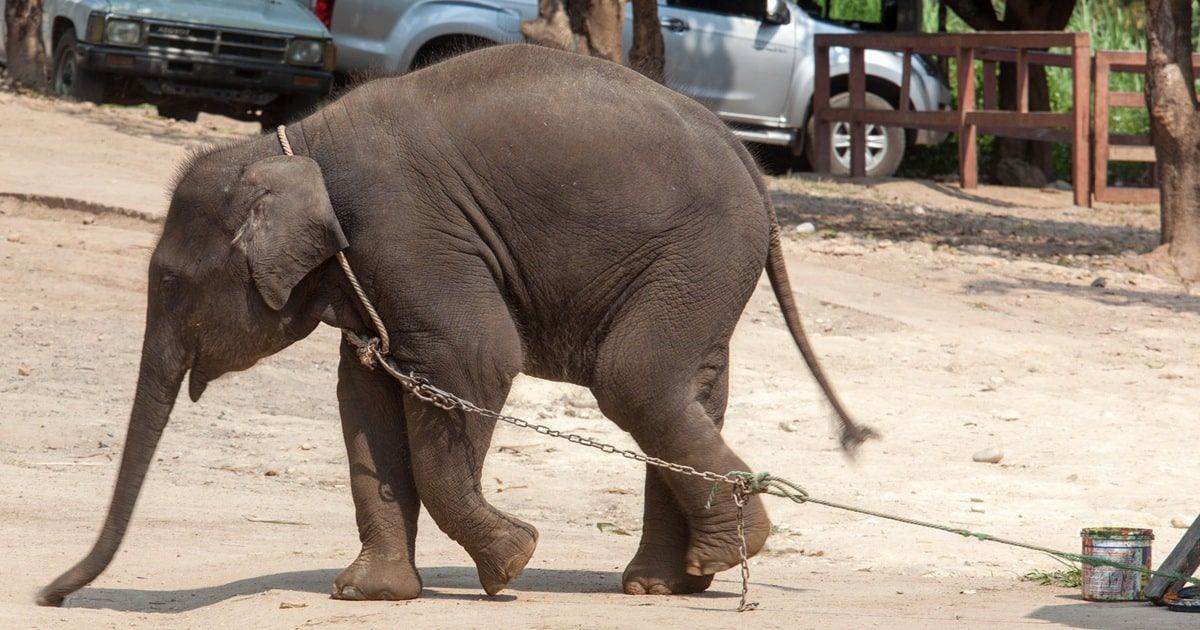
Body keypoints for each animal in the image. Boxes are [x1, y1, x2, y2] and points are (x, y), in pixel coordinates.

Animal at [38, 43, 873, 606]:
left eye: (168, 281)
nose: (49, 594)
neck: (289, 145)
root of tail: (752, 164)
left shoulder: (406, 235)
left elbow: (472, 362)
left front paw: (512, 563)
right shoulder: (371, 273)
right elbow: (364, 396)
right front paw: (367, 593)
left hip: (697, 254)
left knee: (634, 380)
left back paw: (724, 554)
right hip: (702, 267)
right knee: (689, 390)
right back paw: (673, 580)